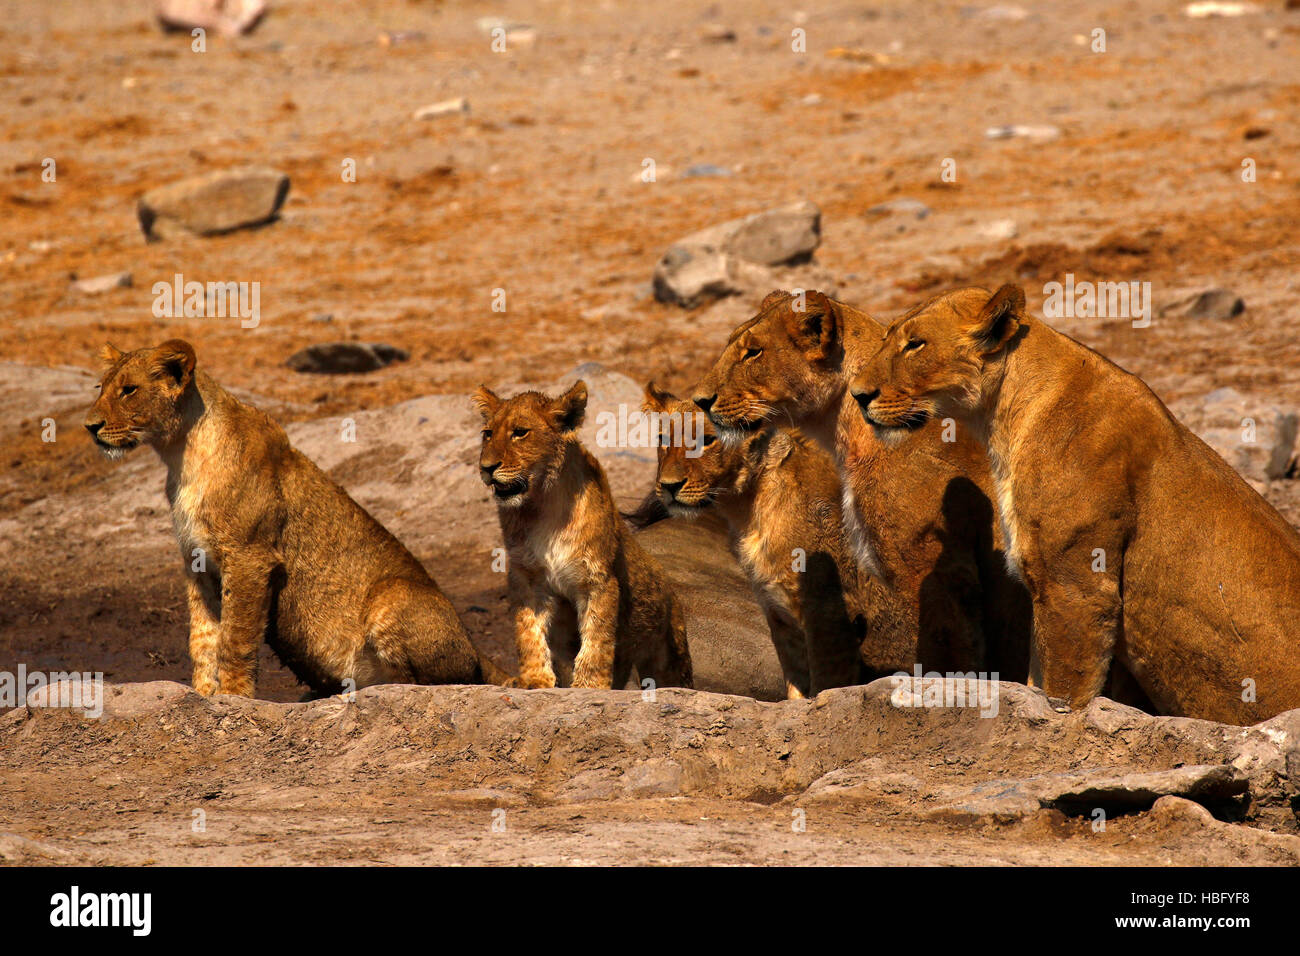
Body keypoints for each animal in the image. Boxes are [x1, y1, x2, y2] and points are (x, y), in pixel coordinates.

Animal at [84, 339, 501, 697]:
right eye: (100, 387)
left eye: (128, 390)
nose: (90, 426)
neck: (181, 454)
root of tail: (478, 649)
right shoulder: (197, 563)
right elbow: (203, 639)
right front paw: (204, 695)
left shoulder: (250, 556)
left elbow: (235, 637)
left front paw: (234, 697)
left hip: (394, 593)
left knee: (431, 682)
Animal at [473, 380, 692, 690]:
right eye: (488, 434)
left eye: (520, 432)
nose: (486, 467)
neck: (542, 506)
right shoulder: (526, 578)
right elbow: (529, 631)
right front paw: (533, 679)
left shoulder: (598, 579)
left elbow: (596, 638)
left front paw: (589, 685)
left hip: (669, 655)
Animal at [850, 284, 1300, 723]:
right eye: (888, 338)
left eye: (916, 344)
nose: (858, 395)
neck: (1003, 417)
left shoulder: (1076, 588)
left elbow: (1063, 695)